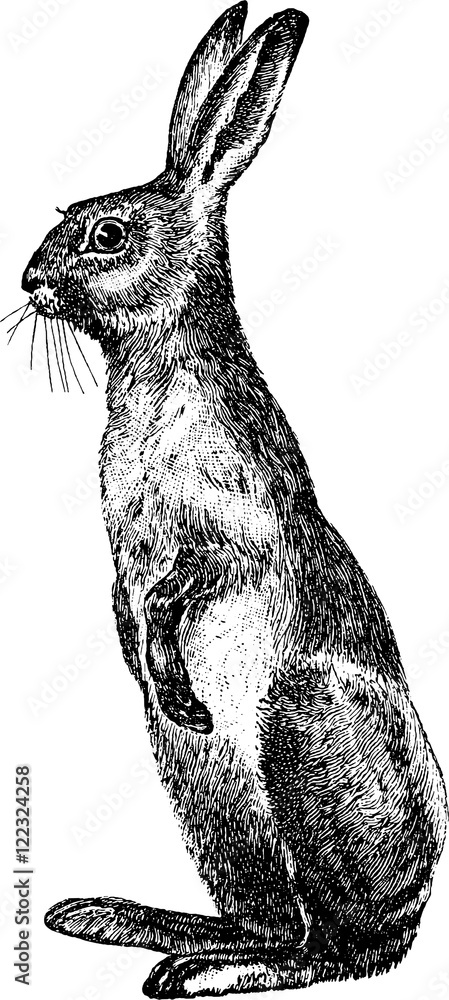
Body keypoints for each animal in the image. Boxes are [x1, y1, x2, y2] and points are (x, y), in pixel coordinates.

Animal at [20, 3, 448, 997]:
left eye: (107, 234)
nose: (28, 282)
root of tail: (417, 904)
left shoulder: (227, 532)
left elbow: (191, 581)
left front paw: (168, 677)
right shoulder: (125, 556)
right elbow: (124, 598)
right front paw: (139, 664)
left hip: (300, 740)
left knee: (336, 950)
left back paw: (202, 973)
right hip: (210, 813)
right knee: (271, 920)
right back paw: (125, 924)